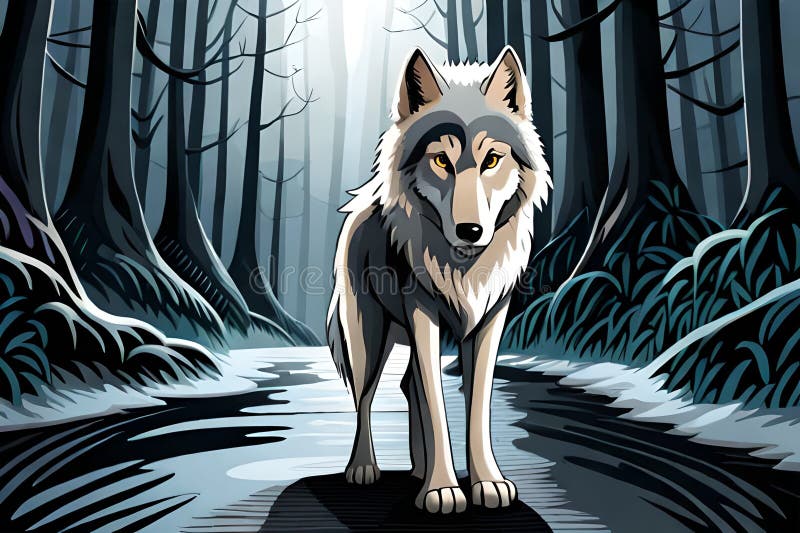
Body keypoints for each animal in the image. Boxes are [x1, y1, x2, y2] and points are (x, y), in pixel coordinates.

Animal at [327, 46, 550, 514]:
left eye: (492, 160)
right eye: (442, 160)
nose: (470, 230)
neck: (462, 269)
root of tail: (363, 203)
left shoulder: (490, 320)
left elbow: (476, 407)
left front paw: (487, 482)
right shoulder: (422, 315)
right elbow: (436, 407)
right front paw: (442, 490)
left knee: (406, 384)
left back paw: (415, 469)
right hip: (368, 339)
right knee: (365, 398)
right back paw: (363, 468)